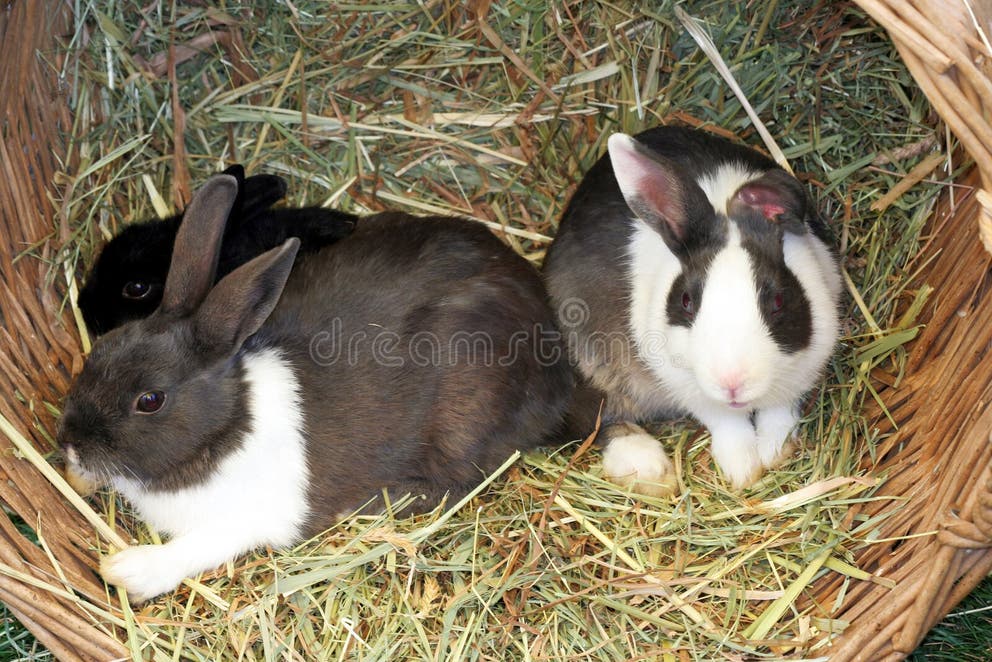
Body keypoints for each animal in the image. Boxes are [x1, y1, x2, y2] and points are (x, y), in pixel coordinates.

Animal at [543, 125, 841, 495]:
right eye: (686, 301)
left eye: (777, 301)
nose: (731, 384)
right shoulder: (691, 389)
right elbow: (728, 425)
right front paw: (742, 469)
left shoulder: (799, 375)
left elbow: (777, 413)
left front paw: (774, 453)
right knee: (598, 419)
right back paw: (650, 469)